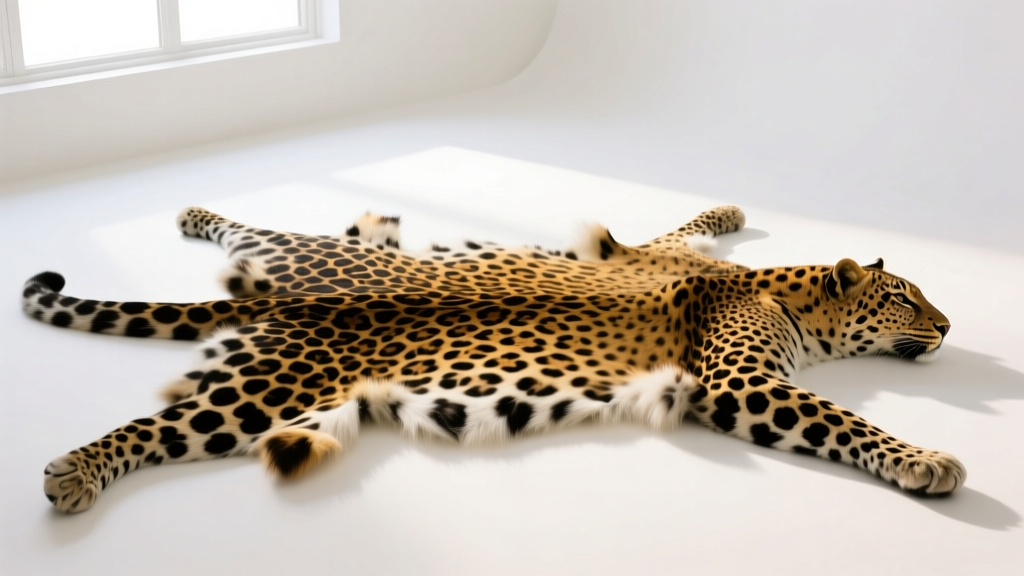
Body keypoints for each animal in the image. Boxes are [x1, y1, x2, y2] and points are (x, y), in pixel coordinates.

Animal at [21, 205, 964, 513]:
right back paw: (75, 470)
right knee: (160, 423)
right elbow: (841, 418)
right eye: (906, 298)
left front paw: (730, 209)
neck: (781, 291)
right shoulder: (740, 383)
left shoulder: (646, 249)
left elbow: (687, 219)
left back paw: (192, 213)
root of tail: (283, 298)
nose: (950, 326)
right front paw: (926, 459)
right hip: (267, 380)